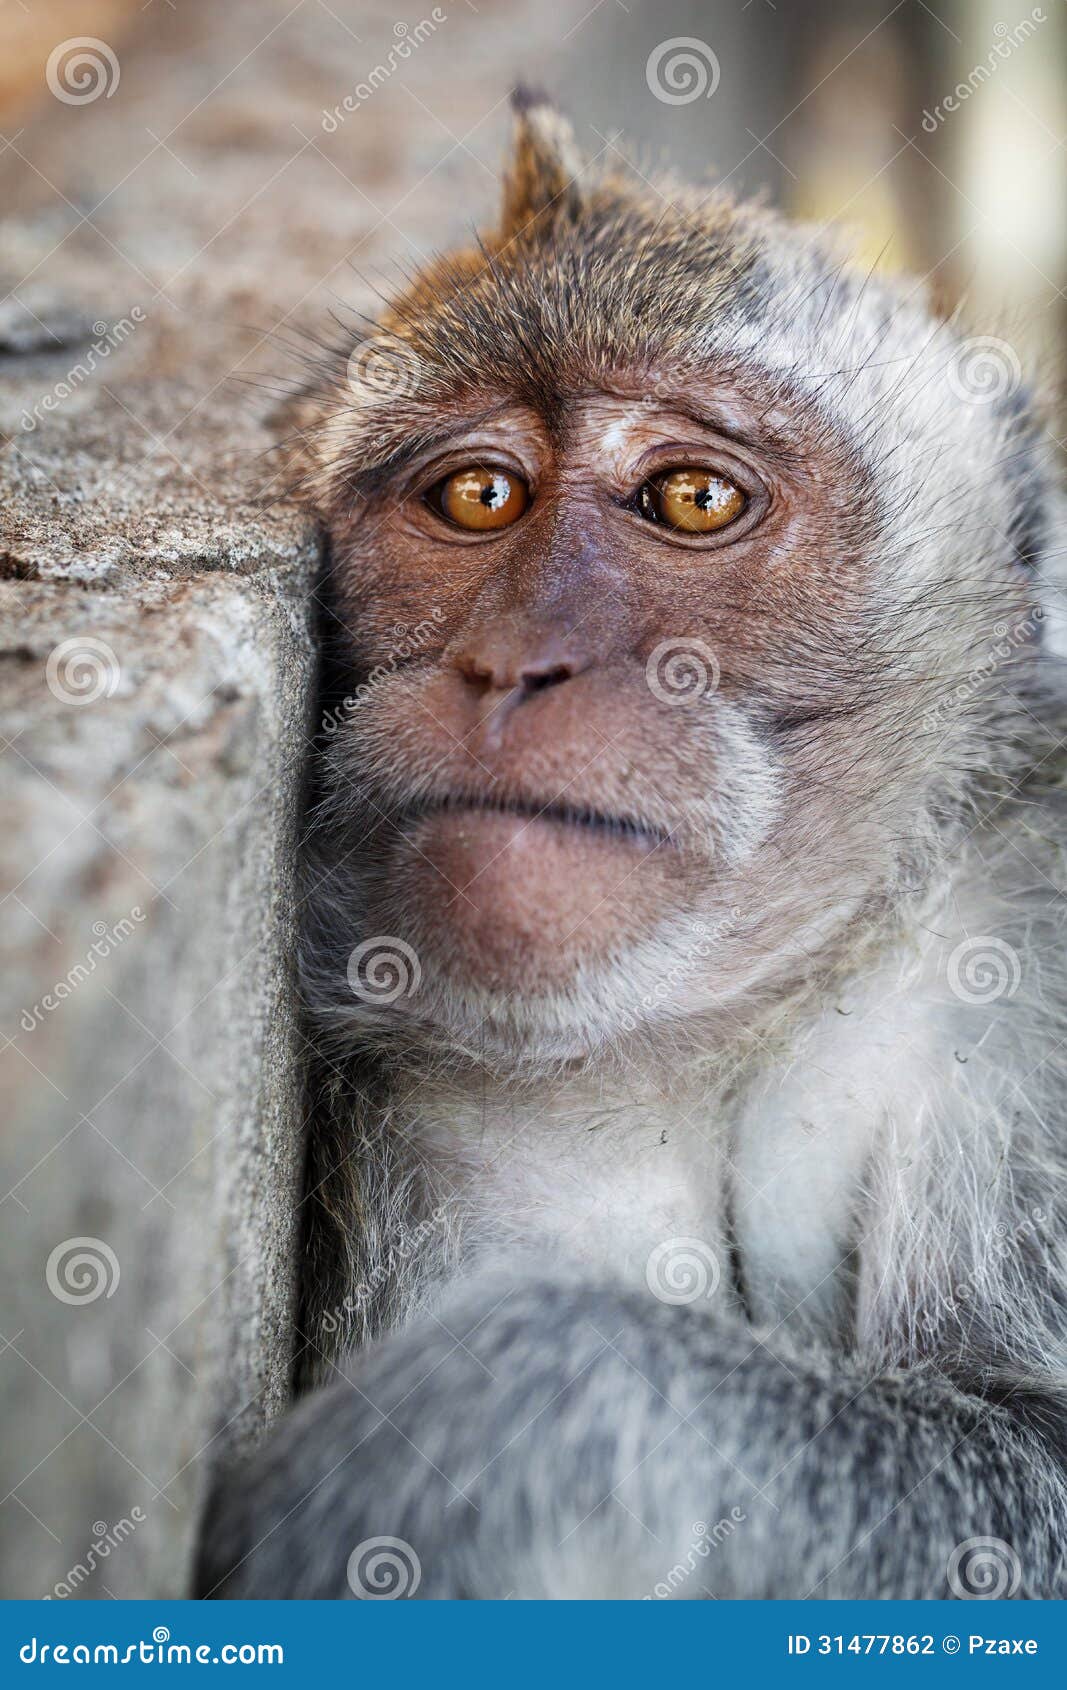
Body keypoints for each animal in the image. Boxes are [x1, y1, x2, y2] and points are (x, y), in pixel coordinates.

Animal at [196, 91, 1067, 1600]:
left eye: (691, 500)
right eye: (478, 495)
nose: (512, 663)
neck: (722, 1018)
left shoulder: (1029, 948)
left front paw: (487, 1428)